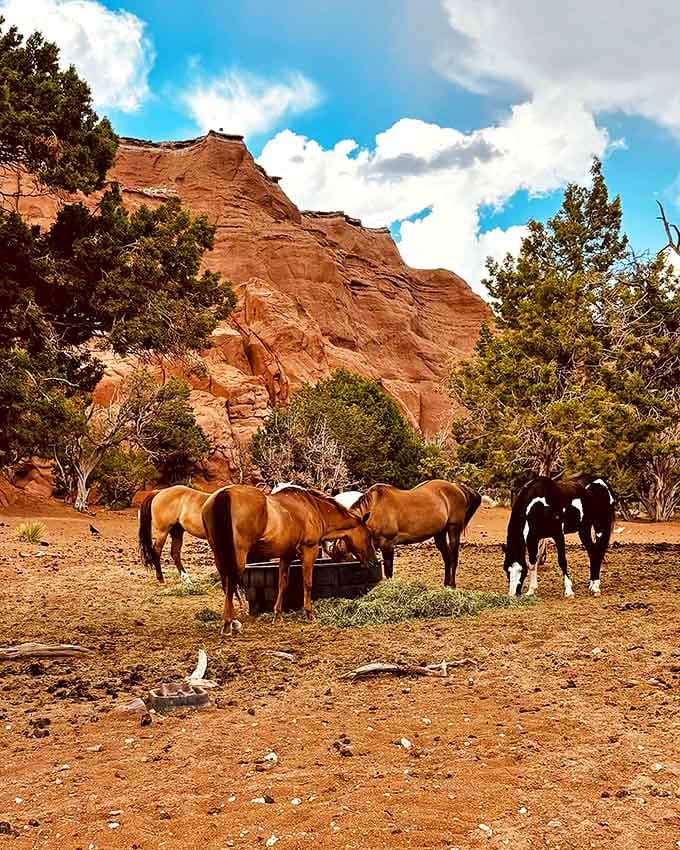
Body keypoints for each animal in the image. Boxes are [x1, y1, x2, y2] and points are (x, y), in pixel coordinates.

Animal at [201, 484, 377, 635]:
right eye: (369, 534)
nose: (374, 561)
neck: (313, 508)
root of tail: (225, 494)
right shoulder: (310, 550)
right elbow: (307, 583)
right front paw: (309, 614)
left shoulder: (286, 555)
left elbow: (282, 584)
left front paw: (277, 615)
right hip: (239, 555)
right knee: (231, 583)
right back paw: (228, 623)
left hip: (219, 555)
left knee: (226, 584)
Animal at [350, 479, 481, 587]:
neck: (375, 510)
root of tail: (456, 487)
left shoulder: (387, 545)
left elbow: (388, 571)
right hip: (440, 533)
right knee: (447, 558)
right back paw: (445, 584)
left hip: (453, 529)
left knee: (453, 557)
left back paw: (452, 585)